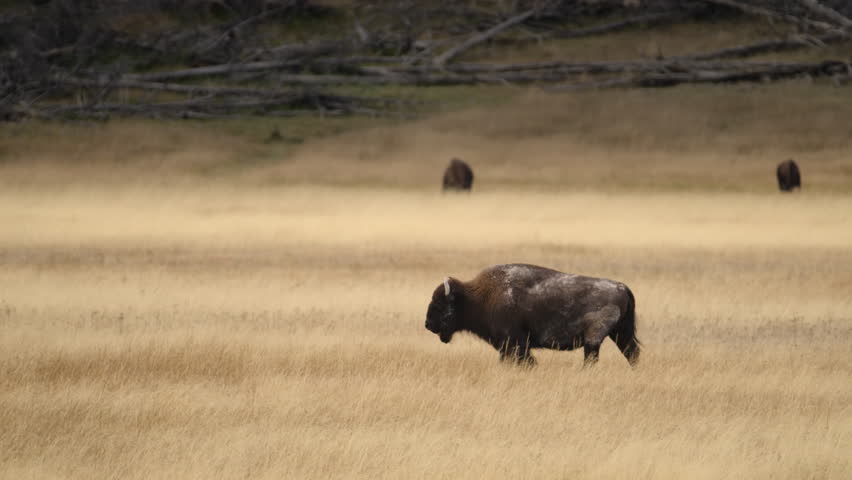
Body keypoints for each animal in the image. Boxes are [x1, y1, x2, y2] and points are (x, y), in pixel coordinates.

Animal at [425, 264, 640, 367]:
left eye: (440, 304)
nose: (428, 324)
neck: (479, 297)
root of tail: (622, 287)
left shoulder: (515, 344)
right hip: (620, 333)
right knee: (632, 353)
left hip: (594, 339)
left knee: (593, 358)